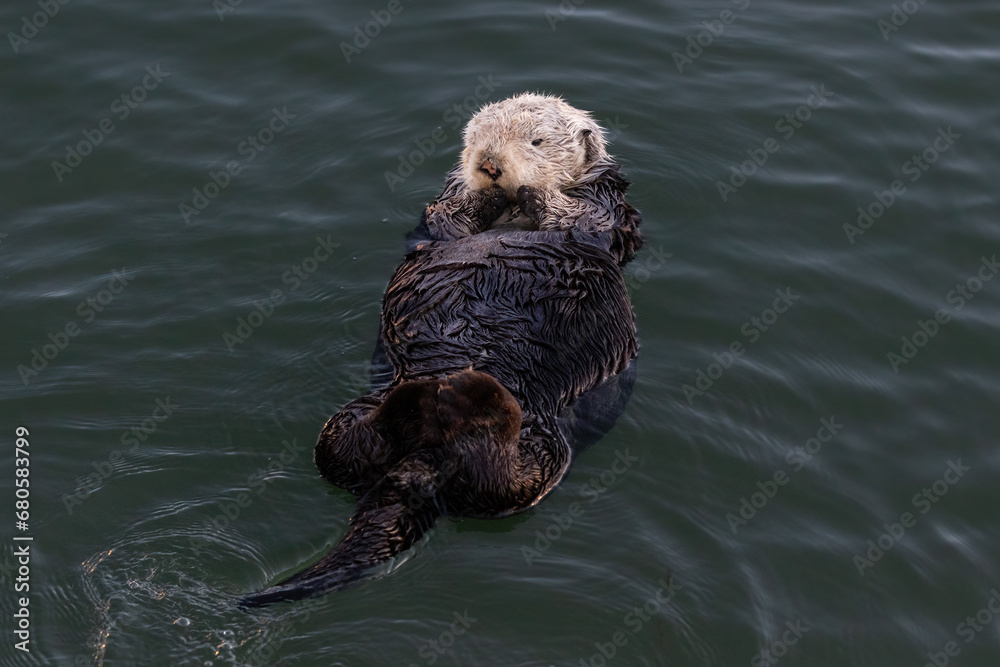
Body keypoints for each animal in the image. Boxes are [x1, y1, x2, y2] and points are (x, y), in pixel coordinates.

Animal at [241, 93, 643, 606]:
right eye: (475, 139)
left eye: (536, 141)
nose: (489, 165)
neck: (513, 215)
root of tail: (428, 460)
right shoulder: (440, 216)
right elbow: (446, 217)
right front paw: (481, 195)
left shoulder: (611, 210)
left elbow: (583, 217)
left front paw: (534, 193)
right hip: (359, 415)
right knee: (339, 451)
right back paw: (421, 400)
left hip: (543, 444)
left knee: (505, 485)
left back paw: (473, 396)